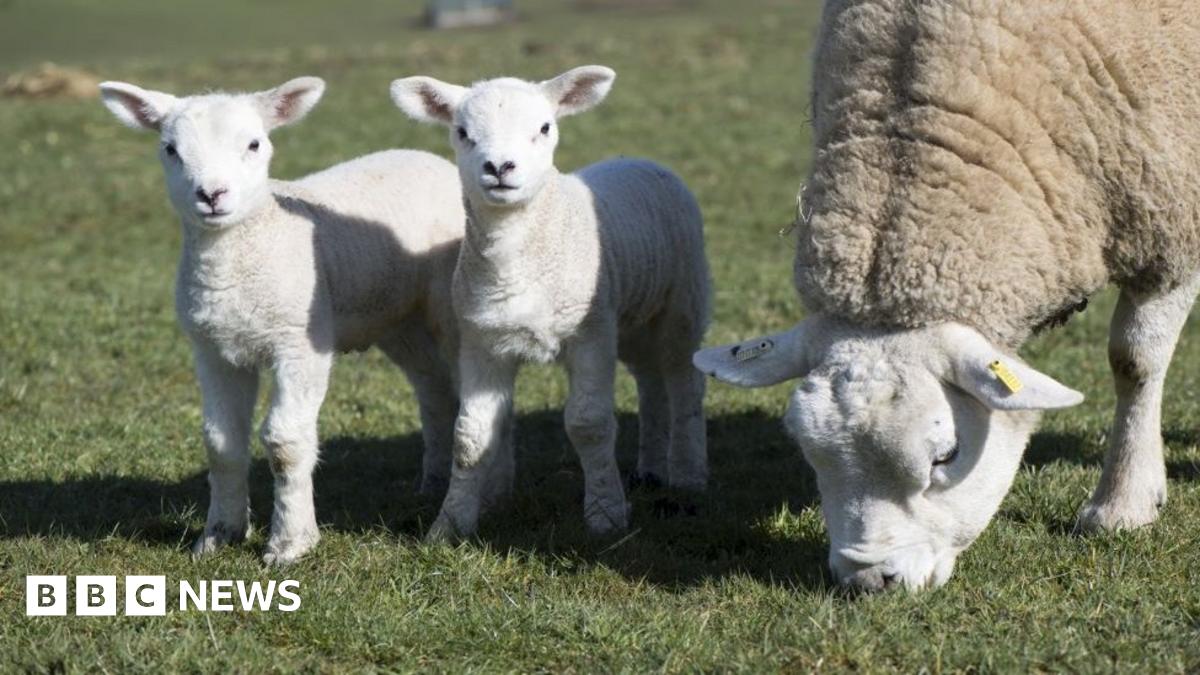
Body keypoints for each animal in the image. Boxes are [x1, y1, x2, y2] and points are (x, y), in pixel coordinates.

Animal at [98, 77, 466, 564]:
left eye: (254, 144)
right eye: (170, 149)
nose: (211, 195)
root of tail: (426, 157)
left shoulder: (299, 344)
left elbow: (285, 443)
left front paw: (290, 542)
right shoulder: (213, 350)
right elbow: (221, 443)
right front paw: (218, 535)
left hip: (446, 305)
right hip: (397, 317)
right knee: (434, 389)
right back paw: (432, 484)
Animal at [390, 66, 711, 539]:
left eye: (544, 128)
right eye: (462, 132)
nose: (499, 167)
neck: (518, 258)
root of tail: (638, 159)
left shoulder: (589, 333)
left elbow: (589, 424)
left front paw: (605, 514)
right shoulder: (482, 343)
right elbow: (469, 437)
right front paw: (449, 525)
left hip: (682, 301)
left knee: (683, 379)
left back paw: (688, 474)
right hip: (631, 318)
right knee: (650, 381)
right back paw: (650, 470)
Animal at [694, 0, 1200, 591]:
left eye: (947, 456)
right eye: (806, 449)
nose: (871, 579)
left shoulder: (1172, 214)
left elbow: (1134, 360)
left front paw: (1123, 505)